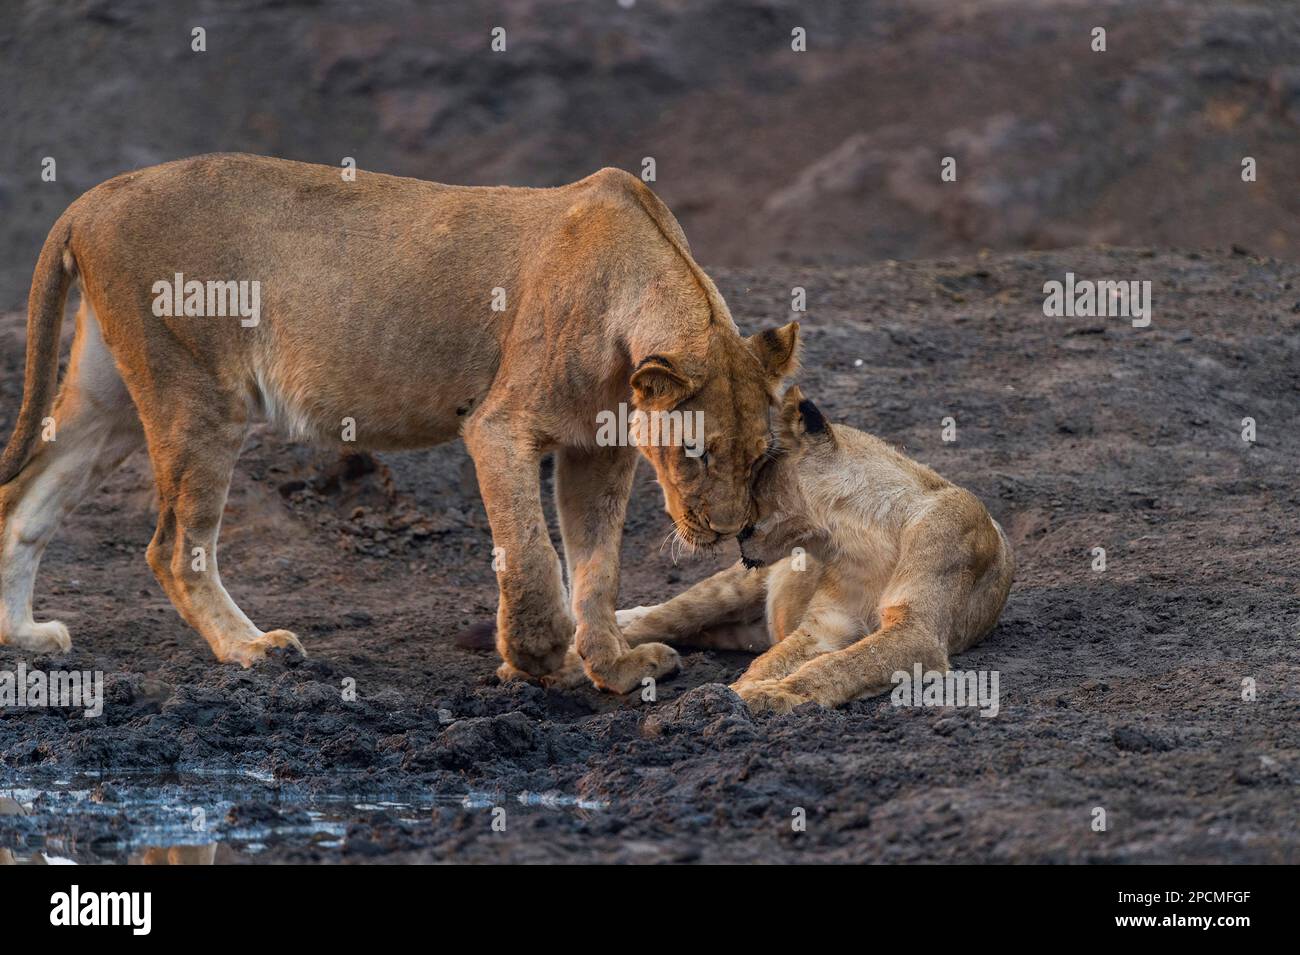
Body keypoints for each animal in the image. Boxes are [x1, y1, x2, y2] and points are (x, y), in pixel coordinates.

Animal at [0, 154, 798, 694]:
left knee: (26, 502)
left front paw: (615, 668)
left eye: (762, 456)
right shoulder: (501, 426)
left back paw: (23, 635)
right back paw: (252, 648)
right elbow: (535, 557)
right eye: (695, 451)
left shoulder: (598, 450)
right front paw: (543, 662)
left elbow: (597, 569)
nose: (727, 534)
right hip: (199, 393)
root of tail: (93, 197)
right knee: (171, 547)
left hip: (108, 397)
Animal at [615, 386, 1014, 712]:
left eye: (754, 476)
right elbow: (773, 661)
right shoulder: (827, 624)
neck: (861, 539)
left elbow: (842, 664)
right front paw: (739, 692)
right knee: (656, 621)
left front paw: (771, 694)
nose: (736, 531)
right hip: (724, 592)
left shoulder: (917, 629)